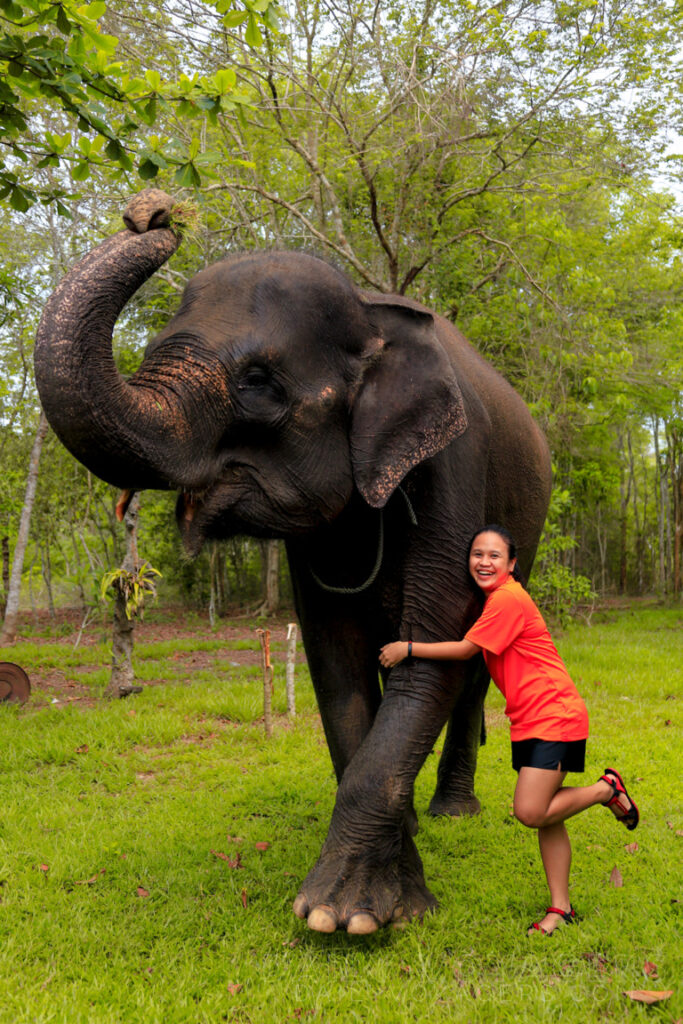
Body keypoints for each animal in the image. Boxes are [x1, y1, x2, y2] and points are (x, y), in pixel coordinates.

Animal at [34, 189, 552, 935]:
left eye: (258, 382)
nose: (153, 211)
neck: (371, 318)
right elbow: (336, 668)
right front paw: (384, 883)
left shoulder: (455, 467)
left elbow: (428, 649)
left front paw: (346, 913)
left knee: (477, 670)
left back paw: (454, 811)